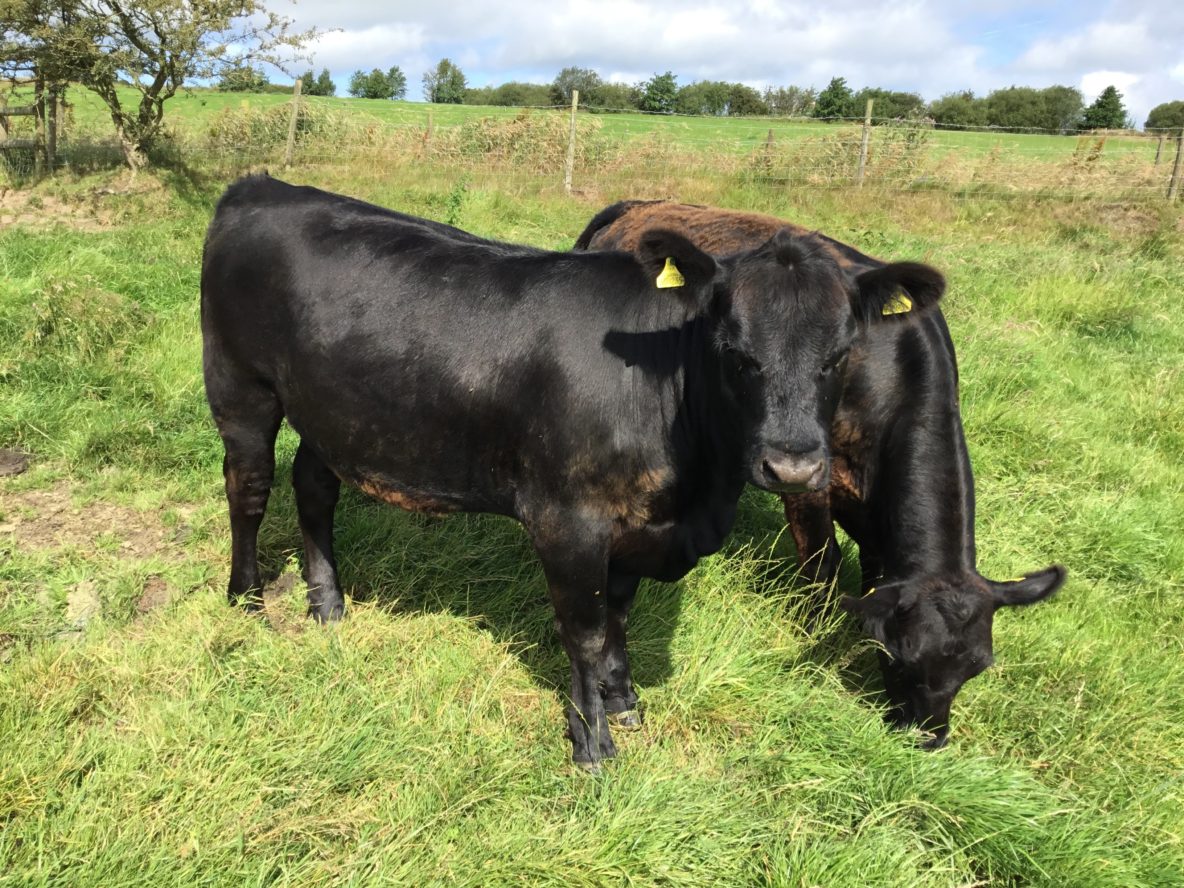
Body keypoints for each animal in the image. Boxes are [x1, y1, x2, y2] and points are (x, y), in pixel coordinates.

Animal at [200, 176, 944, 767]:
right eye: (734, 350)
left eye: (841, 355)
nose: (792, 464)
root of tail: (262, 185)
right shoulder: (568, 519)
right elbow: (584, 629)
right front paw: (592, 741)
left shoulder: (635, 523)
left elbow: (617, 614)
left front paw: (622, 700)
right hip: (241, 387)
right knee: (249, 488)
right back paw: (246, 597)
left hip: (335, 412)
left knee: (314, 487)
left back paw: (326, 603)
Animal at [574, 200, 1064, 748]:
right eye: (903, 658)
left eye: (978, 666)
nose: (926, 740)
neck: (893, 373)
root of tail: (639, 204)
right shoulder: (809, 478)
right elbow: (823, 564)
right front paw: (821, 634)